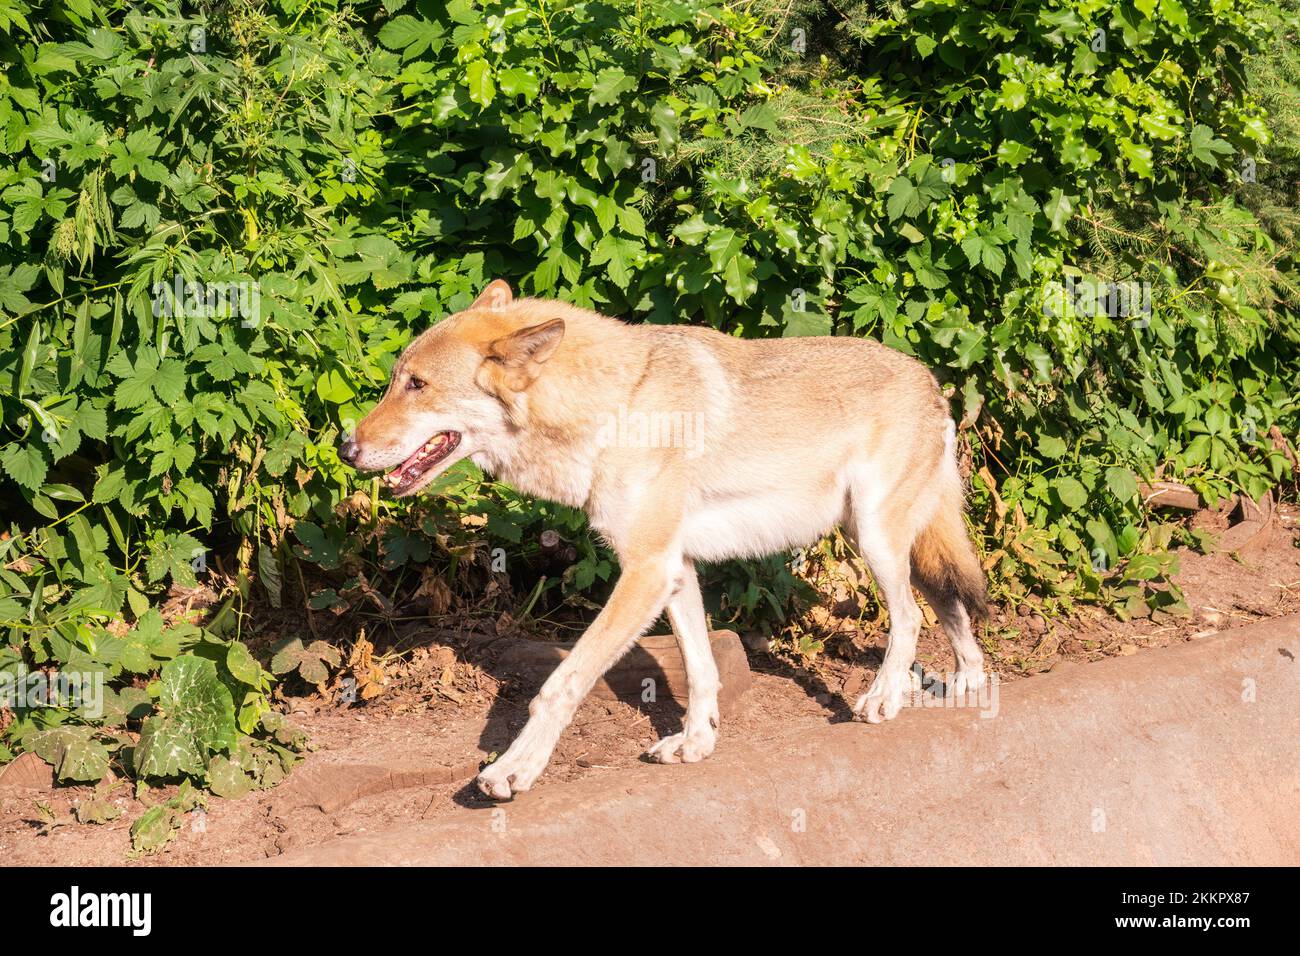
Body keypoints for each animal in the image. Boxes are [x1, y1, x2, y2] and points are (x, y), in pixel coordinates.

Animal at [340, 280, 987, 799]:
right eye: (396, 381)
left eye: (417, 385)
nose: (346, 449)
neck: (616, 405)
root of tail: (932, 382)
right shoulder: (675, 570)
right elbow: (701, 671)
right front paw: (695, 743)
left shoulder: (646, 571)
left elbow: (559, 684)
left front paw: (513, 769)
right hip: (881, 539)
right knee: (952, 607)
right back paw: (970, 685)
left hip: (876, 540)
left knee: (912, 618)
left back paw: (883, 700)